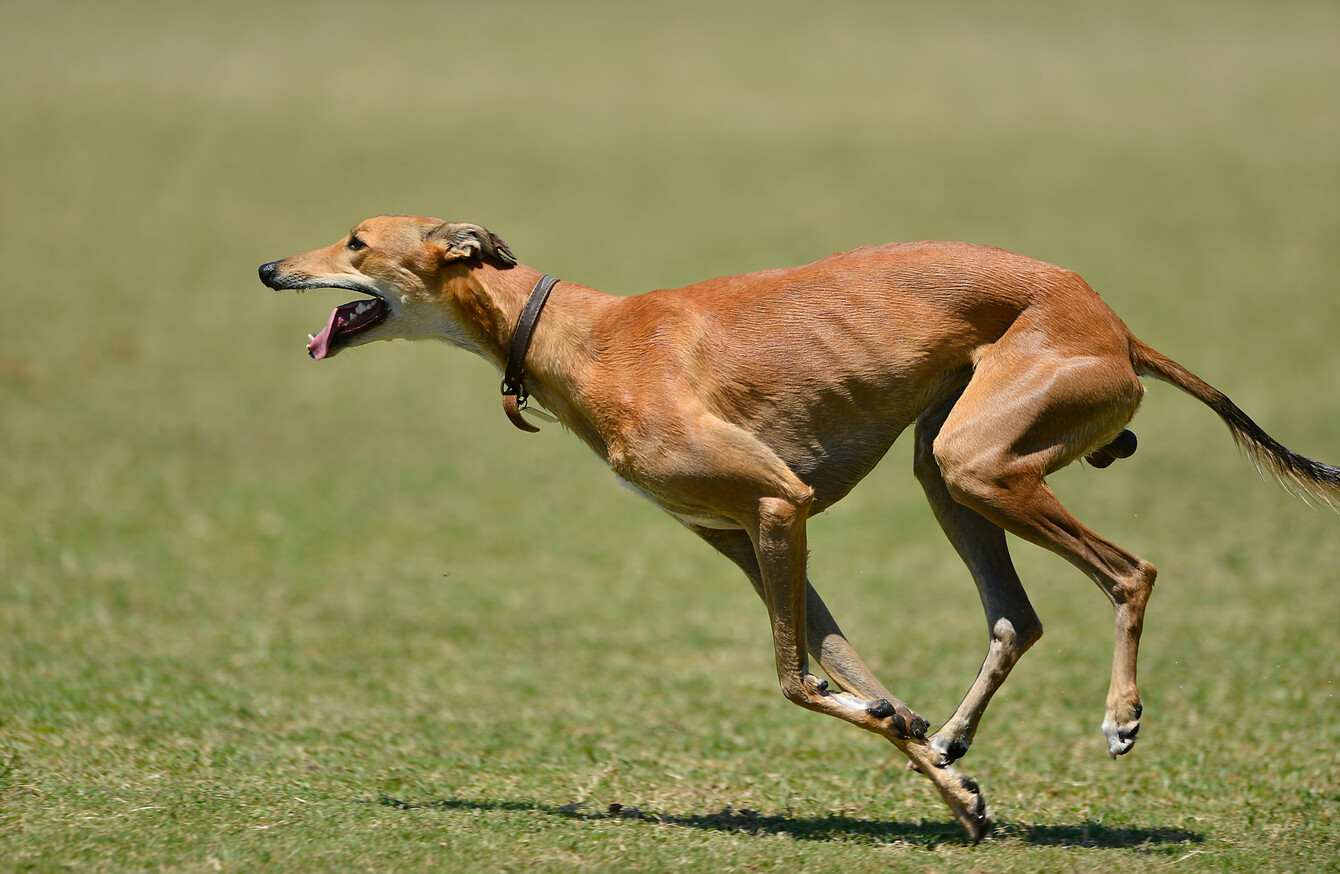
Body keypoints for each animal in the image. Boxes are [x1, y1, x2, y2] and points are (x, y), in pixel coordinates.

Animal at [255, 213, 1334, 841]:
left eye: (356, 240)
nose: (268, 266)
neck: (578, 335)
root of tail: (1111, 319)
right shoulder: (745, 538)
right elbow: (854, 678)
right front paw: (946, 779)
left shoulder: (780, 505)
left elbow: (791, 679)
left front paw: (924, 749)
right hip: (948, 467)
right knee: (1015, 617)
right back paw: (956, 733)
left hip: (981, 465)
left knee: (1130, 571)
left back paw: (1120, 715)